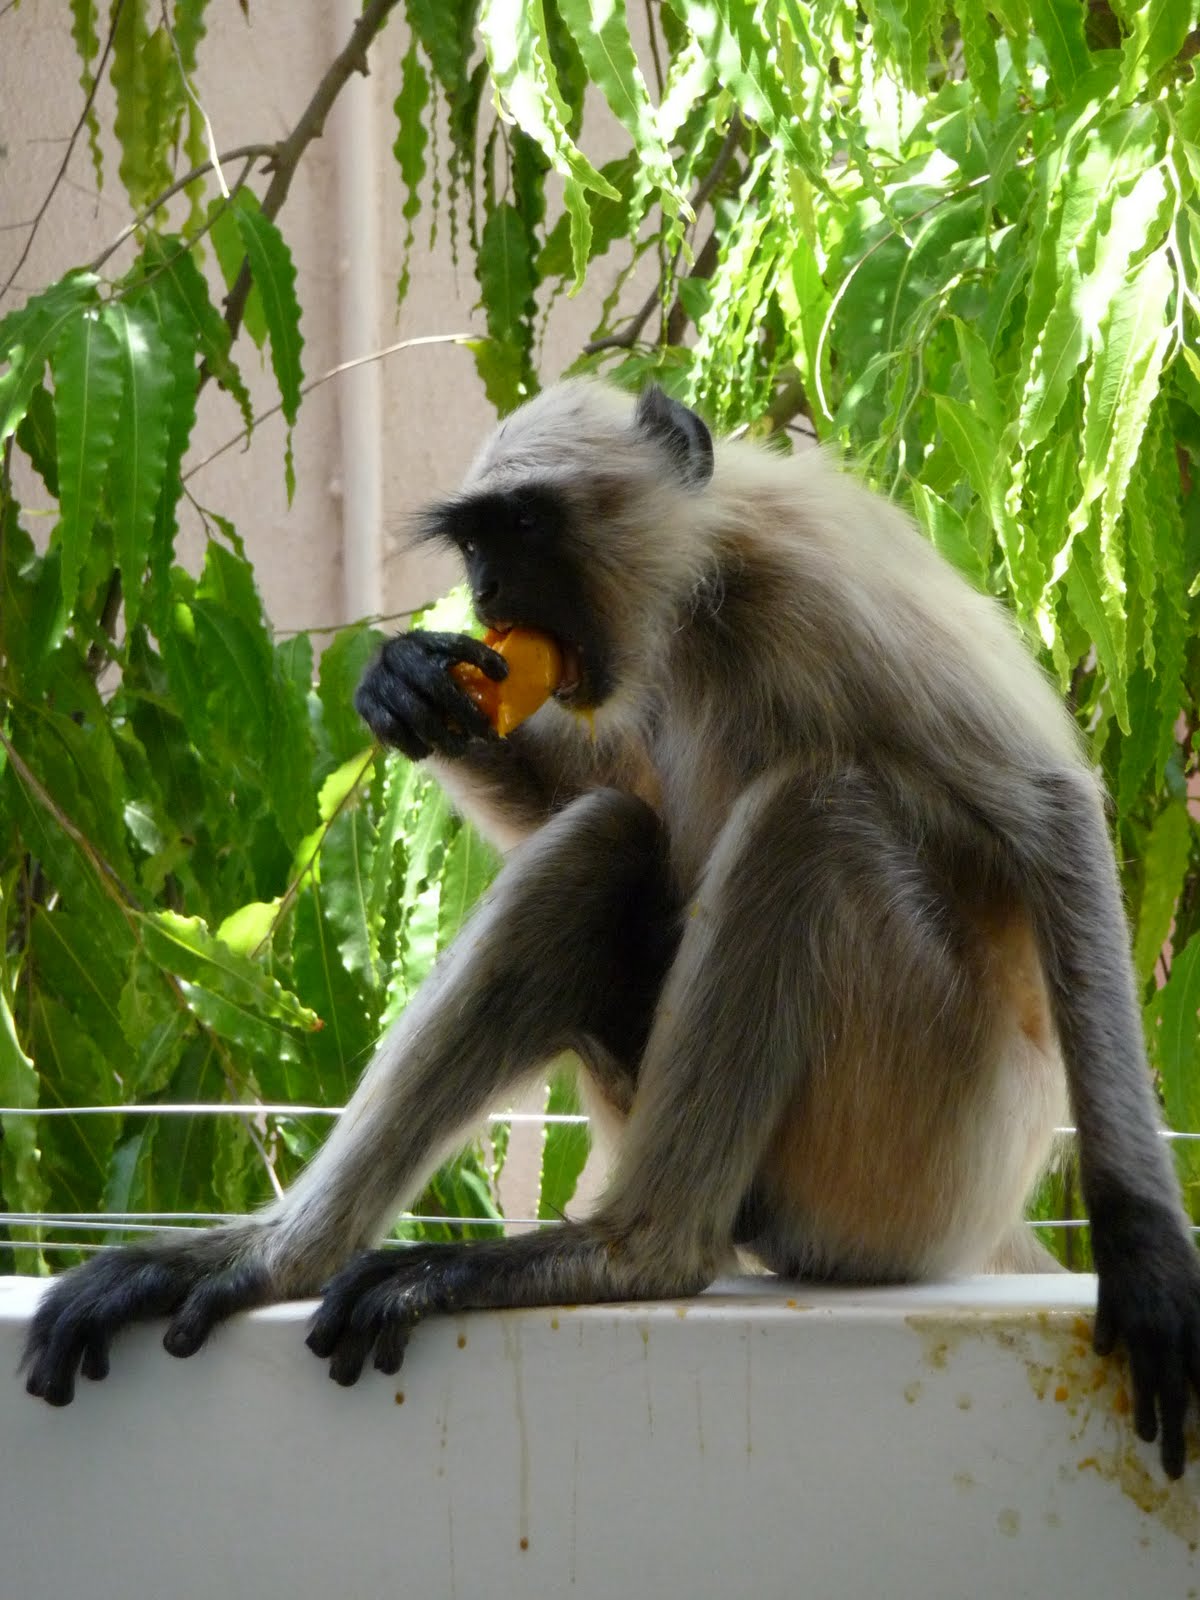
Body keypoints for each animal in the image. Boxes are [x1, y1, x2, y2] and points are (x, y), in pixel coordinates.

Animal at [21, 379, 1200, 1478]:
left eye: (525, 526)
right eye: (479, 544)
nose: (488, 592)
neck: (706, 600)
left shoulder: (827, 579)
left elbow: (1050, 814)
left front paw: (1144, 1251)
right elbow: (605, 799)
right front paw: (407, 682)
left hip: (924, 1146)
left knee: (811, 814)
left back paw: (636, 1256)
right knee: (606, 837)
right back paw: (275, 1258)